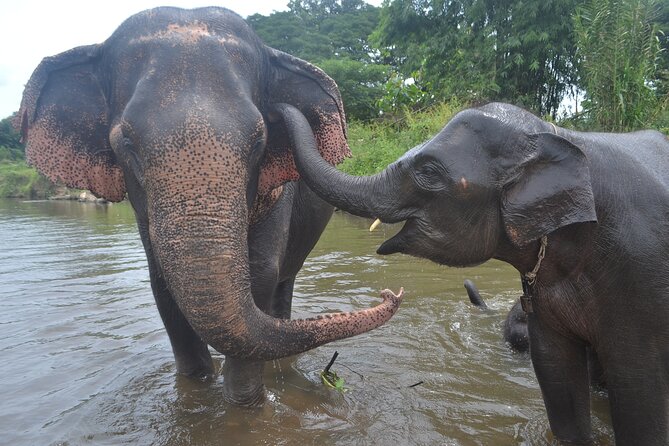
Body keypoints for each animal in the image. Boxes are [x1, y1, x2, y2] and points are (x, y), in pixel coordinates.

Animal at [15, 7, 403, 407]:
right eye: (127, 143)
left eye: (260, 140)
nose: (390, 294)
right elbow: (162, 286)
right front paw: (196, 394)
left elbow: (260, 273)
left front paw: (245, 406)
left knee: (282, 284)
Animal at [275, 101, 669, 444]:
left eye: (428, 172)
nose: (281, 107)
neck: (561, 137)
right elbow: (554, 366)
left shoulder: (640, 273)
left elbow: (640, 384)